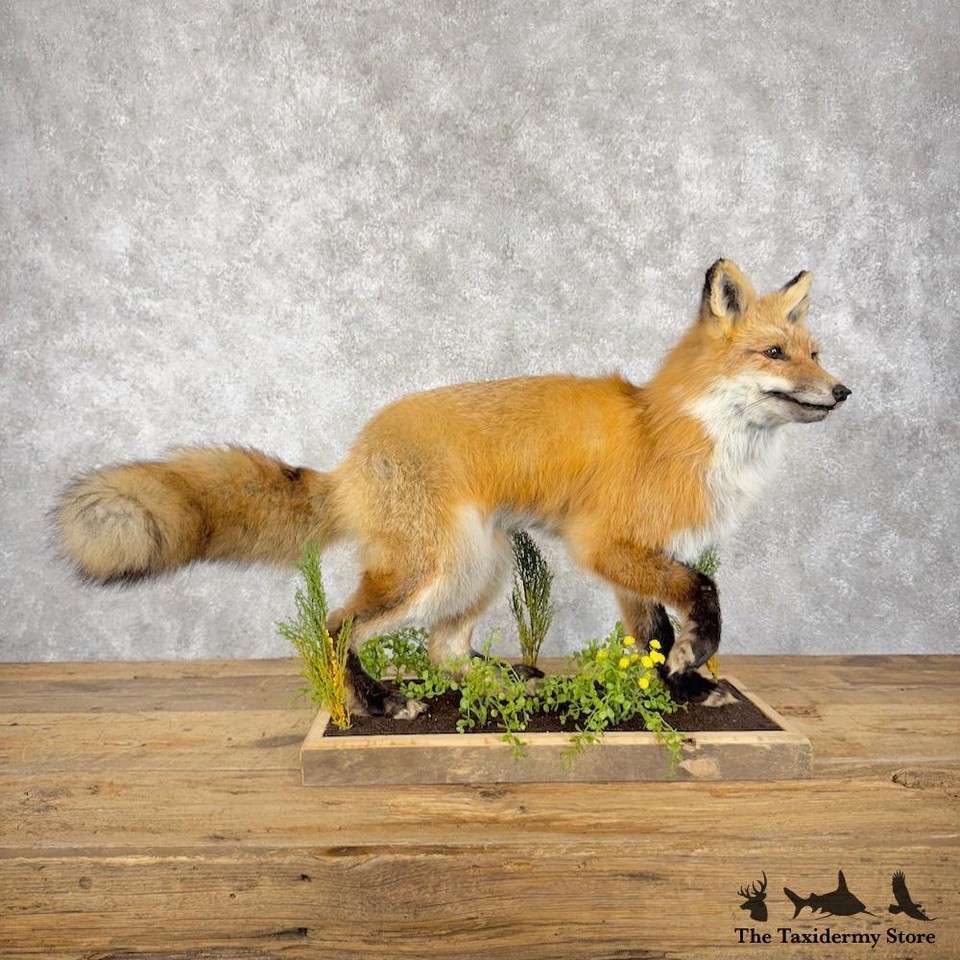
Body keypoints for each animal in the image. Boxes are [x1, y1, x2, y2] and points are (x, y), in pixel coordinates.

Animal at [56, 259, 850, 718]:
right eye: (775, 354)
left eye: (815, 352)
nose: (844, 391)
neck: (671, 429)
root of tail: (351, 458)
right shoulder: (606, 545)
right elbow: (699, 596)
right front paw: (697, 657)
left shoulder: (631, 561)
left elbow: (650, 637)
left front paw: (683, 688)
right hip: (430, 572)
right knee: (335, 627)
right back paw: (375, 702)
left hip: (479, 568)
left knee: (444, 654)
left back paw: (508, 686)